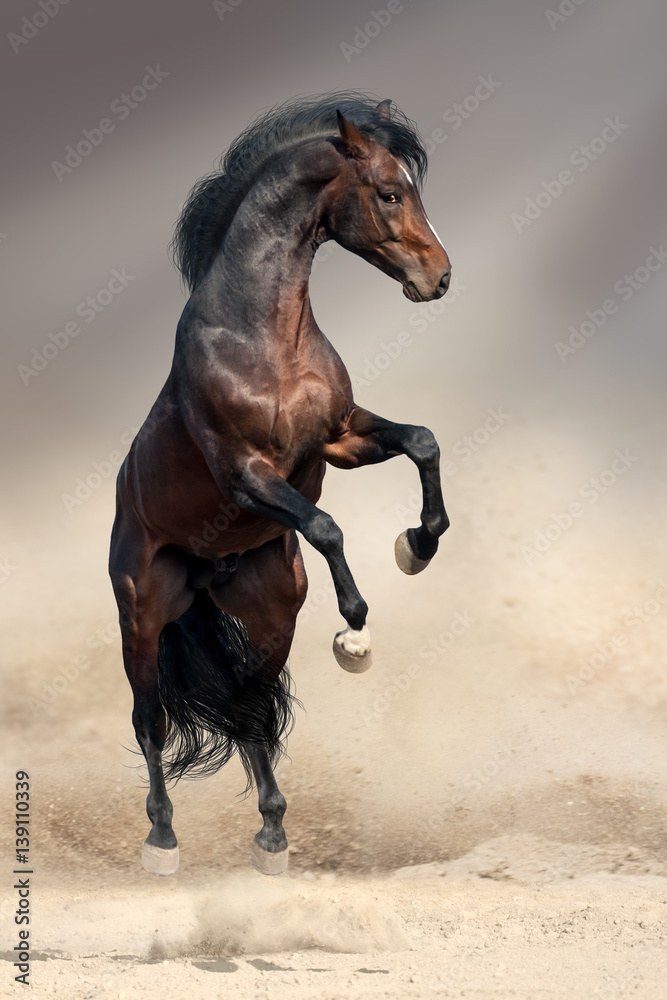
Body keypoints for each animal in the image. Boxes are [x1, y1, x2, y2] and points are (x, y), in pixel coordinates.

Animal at [109, 91, 451, 877]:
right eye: (390, 193)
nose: (441, 278)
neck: (262, 338)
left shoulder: (340, 438)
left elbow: (421, 441)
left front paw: (416, 546)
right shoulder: (246, 476)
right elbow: (325, 526)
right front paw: (355, 629)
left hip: (270, 613)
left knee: (253, 707)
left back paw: (271, 837)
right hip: (141, 620)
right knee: (149, 721)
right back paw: (162, 842)